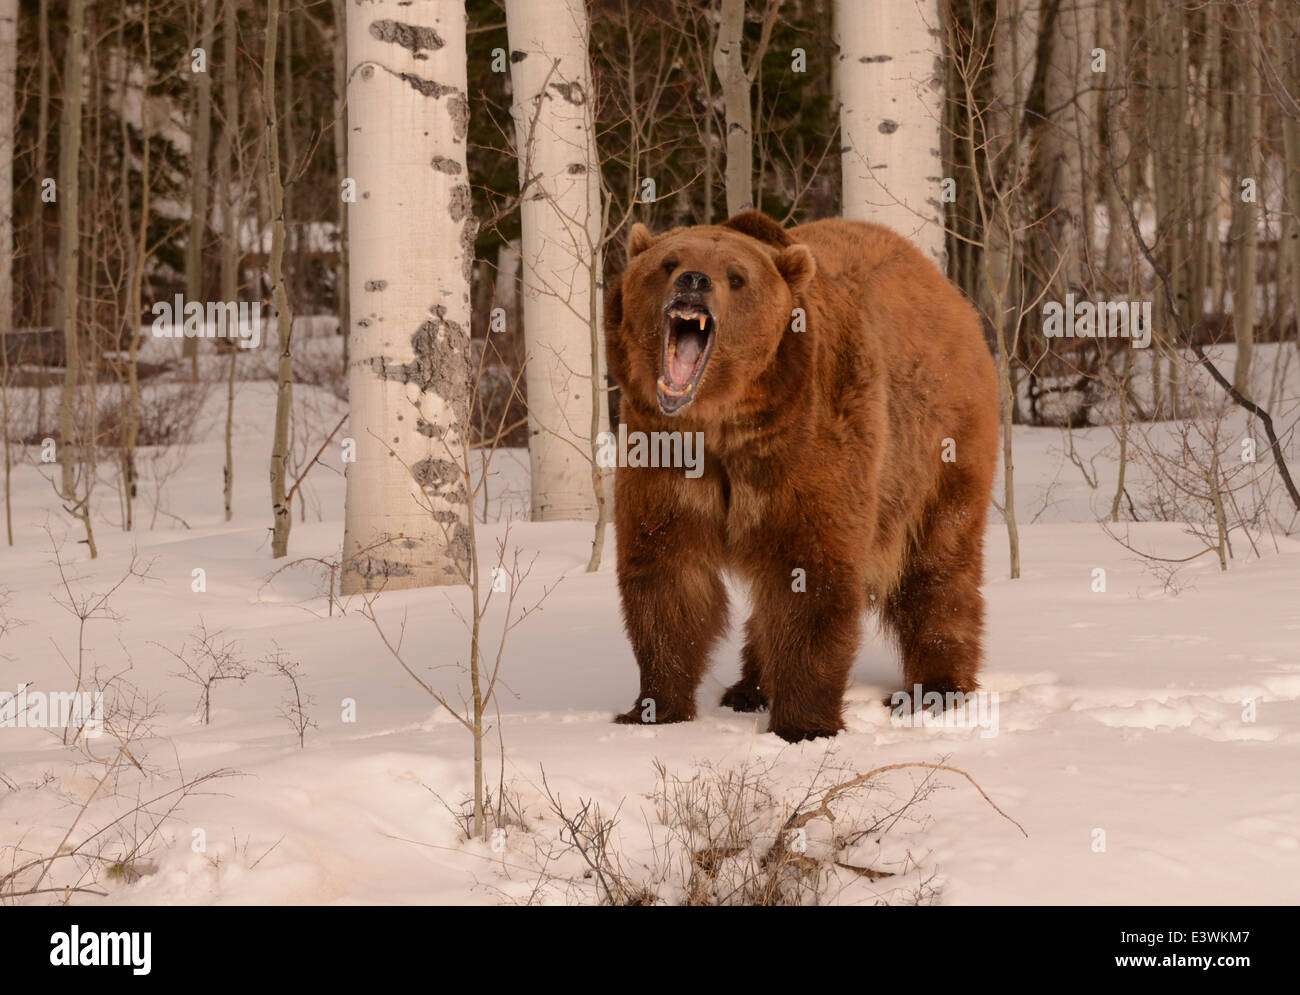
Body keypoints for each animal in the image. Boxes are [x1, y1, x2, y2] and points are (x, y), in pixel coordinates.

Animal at [603, 210, 1000, 743]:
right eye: (668, 262)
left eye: (736, 276)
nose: (694, 281)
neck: (720, 422)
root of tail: (951, 296)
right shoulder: (665, 452)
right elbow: (667, 570)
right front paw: (652, 708)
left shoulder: (808, 442)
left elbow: (809, 573)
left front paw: (803, 725)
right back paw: (748, 688)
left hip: (937, 447)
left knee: (938, 568)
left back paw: (935, 690)